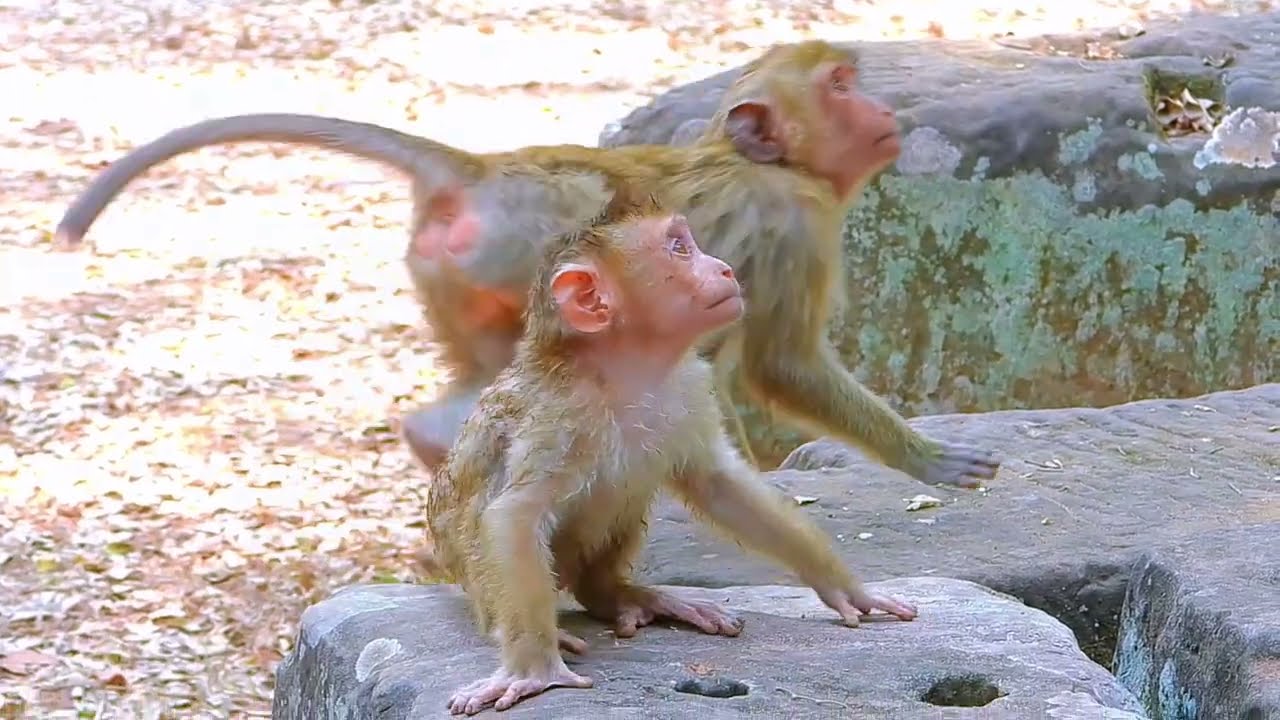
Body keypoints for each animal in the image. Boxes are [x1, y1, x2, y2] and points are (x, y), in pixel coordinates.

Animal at [53, 40, 1001, 490]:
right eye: (841, 86)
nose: (883, 111)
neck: (770, 163)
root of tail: (479, 170)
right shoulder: (799, 225)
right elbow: (783, 364)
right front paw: (926, 459)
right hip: (525, 250)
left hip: (451, 277)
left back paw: (436, 442)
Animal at [426, 193, 917, 716]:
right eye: (679, 248)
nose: (724, 268)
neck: (625, 371)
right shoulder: (558, 415)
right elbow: (514, 516)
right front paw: (534, 669)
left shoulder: (689, 386)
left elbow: (721, 485)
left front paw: (845, 589)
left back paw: (617, 594)